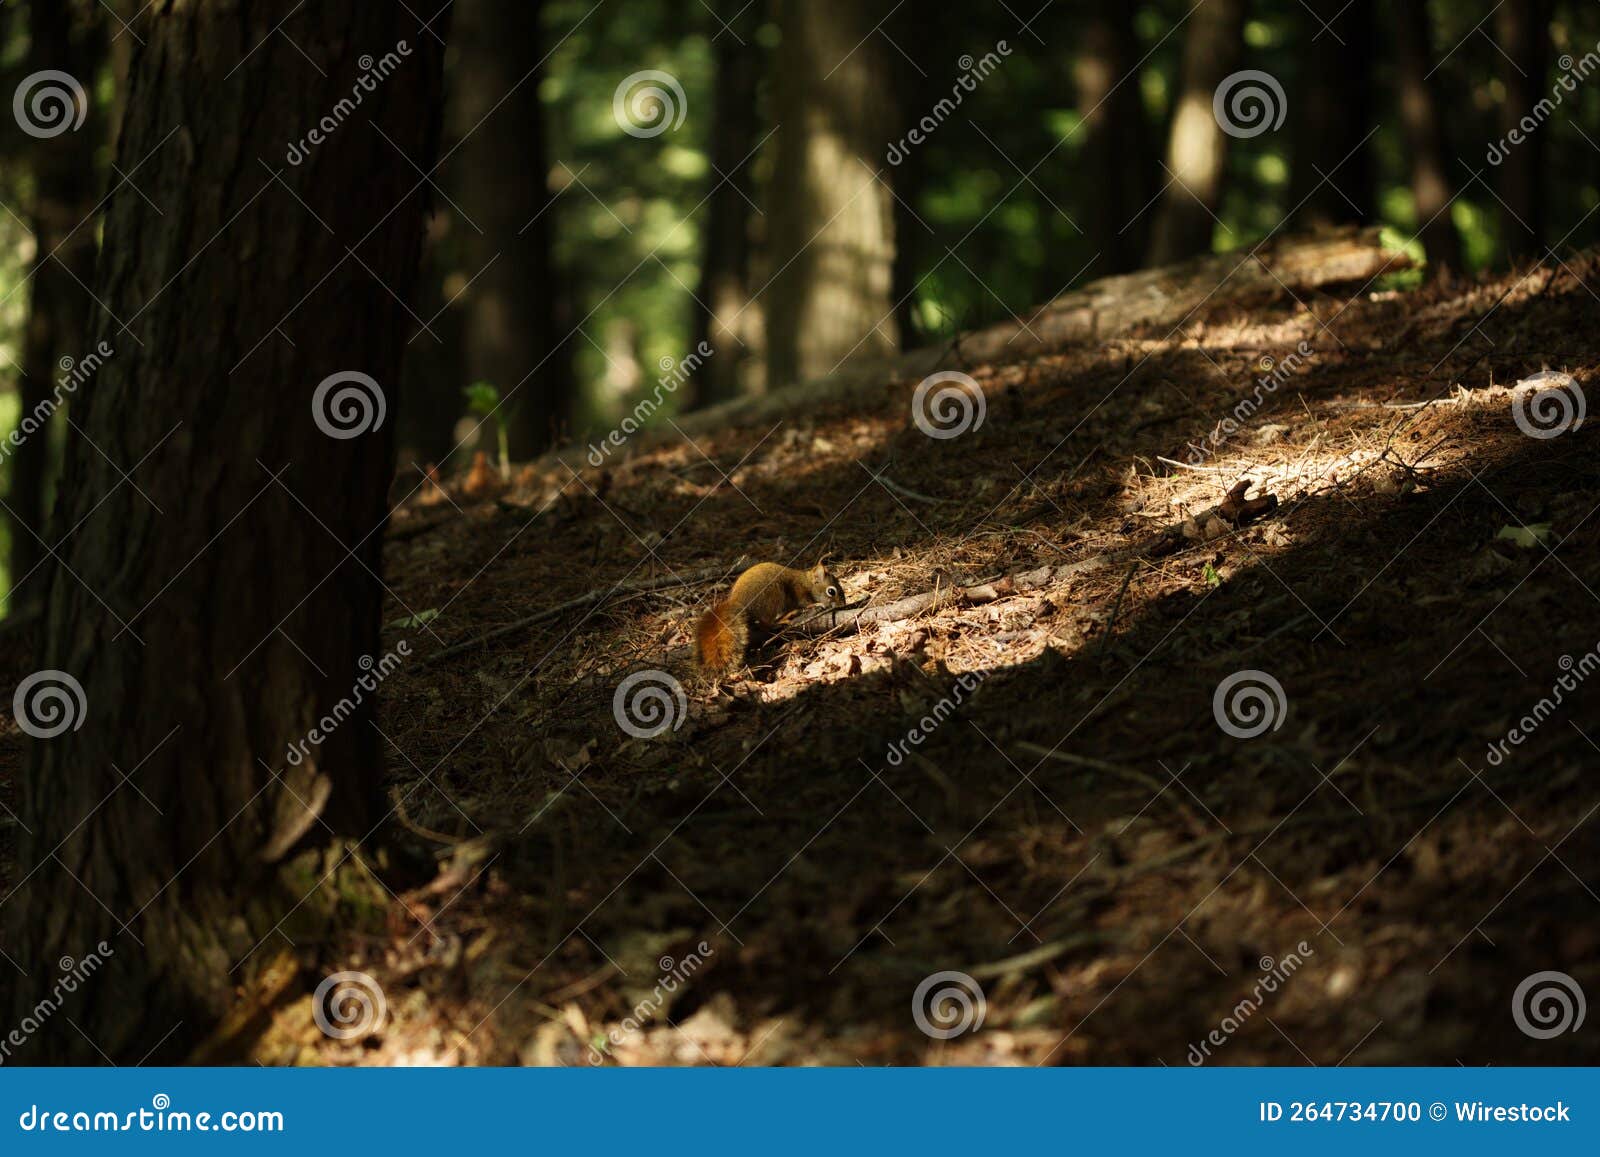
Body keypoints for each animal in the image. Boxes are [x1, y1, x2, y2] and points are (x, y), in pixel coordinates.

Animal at [695, 561, 846, 676]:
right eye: (831, 591)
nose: (843, 604)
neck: (807, 583)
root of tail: (739, 603)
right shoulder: (799, 591)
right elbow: (806, 602)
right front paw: (817, 605)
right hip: (773, 593)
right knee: (766, 623)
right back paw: (784, 618)